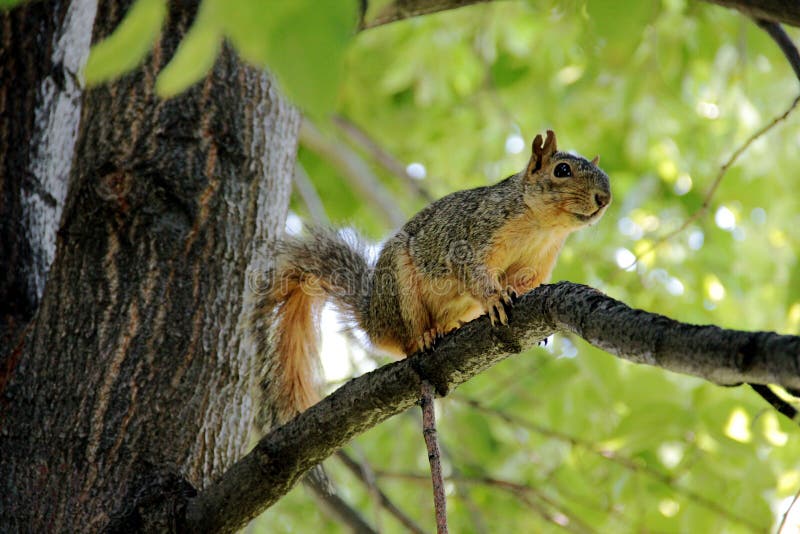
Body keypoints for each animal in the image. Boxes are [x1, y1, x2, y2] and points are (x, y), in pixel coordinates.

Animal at [253, 130, 611, 428]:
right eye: (562, 170)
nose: (604, 199)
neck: (542, 227)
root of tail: (374, 320)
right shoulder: (472, 236)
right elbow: (472, 271)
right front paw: (494, 298)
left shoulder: (536, 265)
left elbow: (522, 283)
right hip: (400, 289)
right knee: (407, 340)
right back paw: (425, 337)